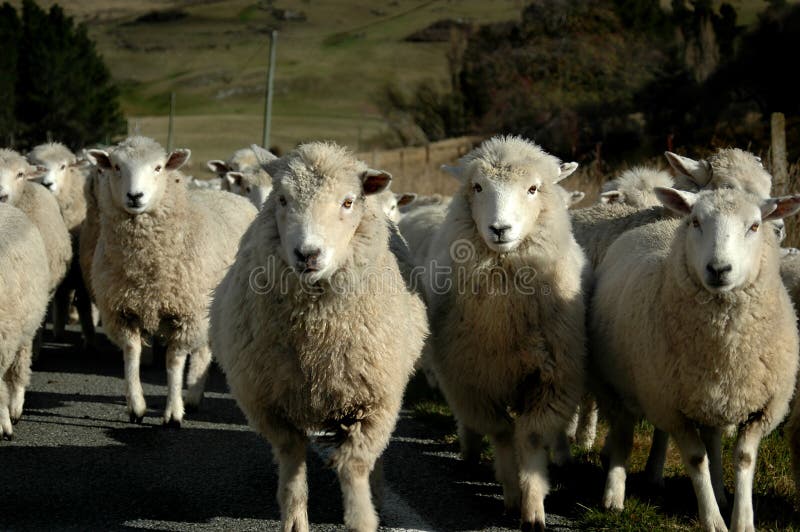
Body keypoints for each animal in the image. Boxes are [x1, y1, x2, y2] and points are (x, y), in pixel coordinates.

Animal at [27, 142, 97, 345]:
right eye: (36, 165)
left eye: (63, 166)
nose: (47, 184)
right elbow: (61, 296)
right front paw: (58, 329)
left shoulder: (80, 268)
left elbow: (83, 302)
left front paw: (89, 337)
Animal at [88, 136, 258, 426]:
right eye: (116, 166)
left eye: (158, 167)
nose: (135, 196)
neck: (145, 273)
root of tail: (230, 194)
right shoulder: (122, 311)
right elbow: (131, 354)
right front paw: (137, 407)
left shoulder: (186, 313)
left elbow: (174, 361)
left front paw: (173, 413)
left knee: (204, 352)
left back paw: (192, 397)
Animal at [210, 141, 428, 532]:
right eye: (282, 199)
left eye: (348, 201)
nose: (307, 254)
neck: (316, 335)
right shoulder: (269, 405)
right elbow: (292, 462)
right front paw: (295, 520)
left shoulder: (376, 403)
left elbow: (354, 466)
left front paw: (362, 519)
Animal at [423, 135, 587, 530]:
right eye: (477, 187)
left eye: (533, 189)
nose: (500, 229)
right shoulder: (475, 381)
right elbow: (501, 433)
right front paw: (512, 494)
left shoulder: (550, 379)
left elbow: (530, 437)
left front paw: (533, 508)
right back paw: (468, 451)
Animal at [591, 187, 800, 532]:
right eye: (696, 222)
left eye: (755, 226)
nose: (719, 269)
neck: (725, 350)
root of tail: (659, 224)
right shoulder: (671, 405)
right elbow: (694, 459)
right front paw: (713, 520)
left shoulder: (761, 407)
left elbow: (743, 458)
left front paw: (742, 519)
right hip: (624, 382)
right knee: (624, 430)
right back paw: (614, 494)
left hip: (695, 392)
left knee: (703, 436)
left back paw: (686, 481)